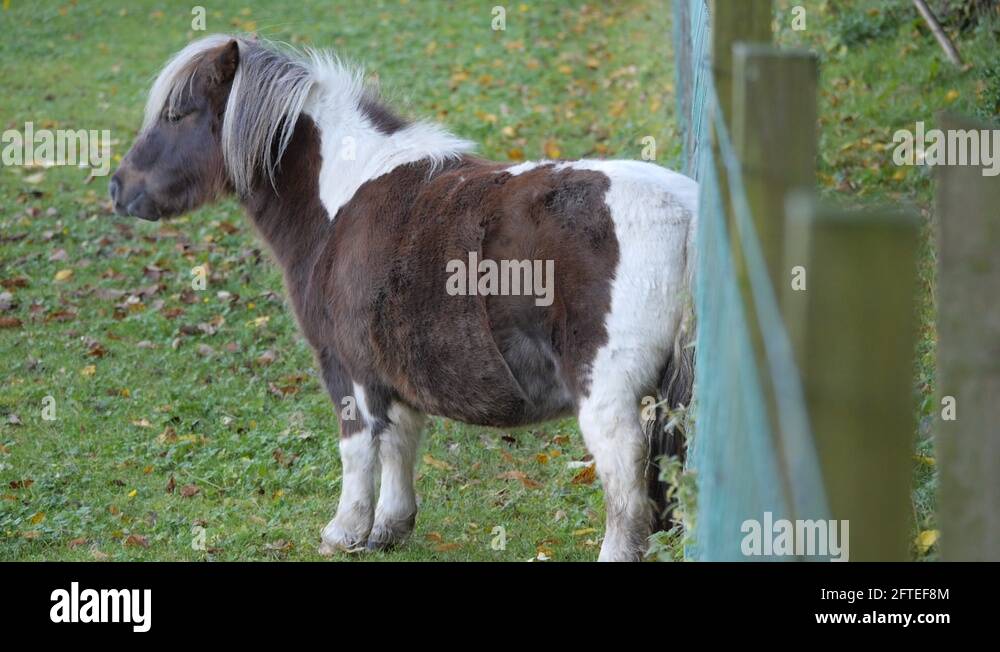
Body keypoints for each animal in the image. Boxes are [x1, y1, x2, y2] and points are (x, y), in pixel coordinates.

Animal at [109, 35, 698, 562]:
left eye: (178, 114)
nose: (118, 187)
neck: (342, 200)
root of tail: (685, 208)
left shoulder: (345, 367)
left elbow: (358, 447)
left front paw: (344, 532)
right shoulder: (390, 369)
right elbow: (399, 441)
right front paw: (388, 530)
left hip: (609, 401)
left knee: (626, 499)